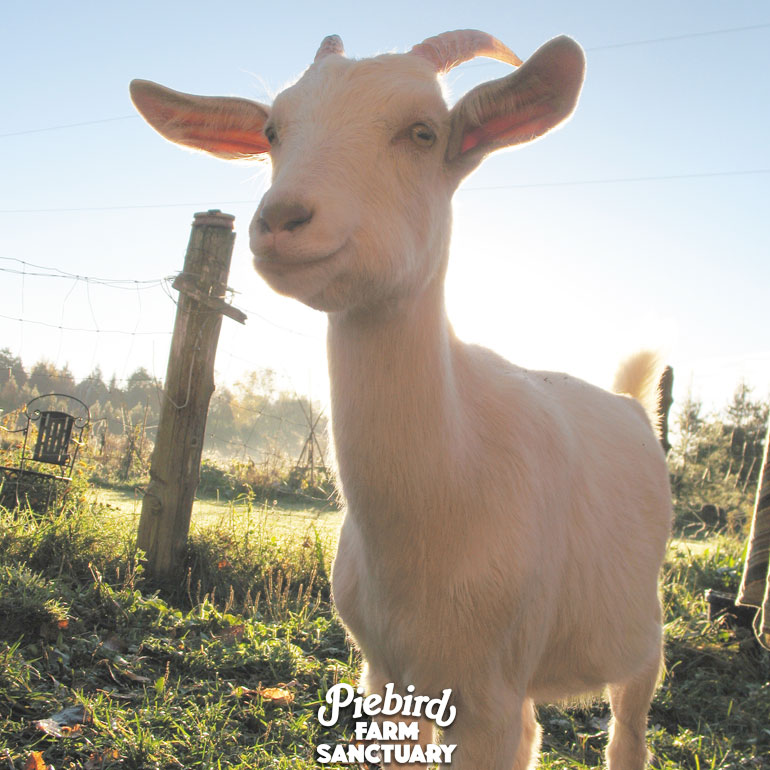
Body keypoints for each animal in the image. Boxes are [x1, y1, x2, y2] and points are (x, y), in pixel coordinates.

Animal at [130, 30, 672, 769]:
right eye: (272, 131)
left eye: (423, 132)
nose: (282, 219)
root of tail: (629, 401)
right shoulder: (386, 671)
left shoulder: (488, 692)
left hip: (644, 643)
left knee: (628, 730)